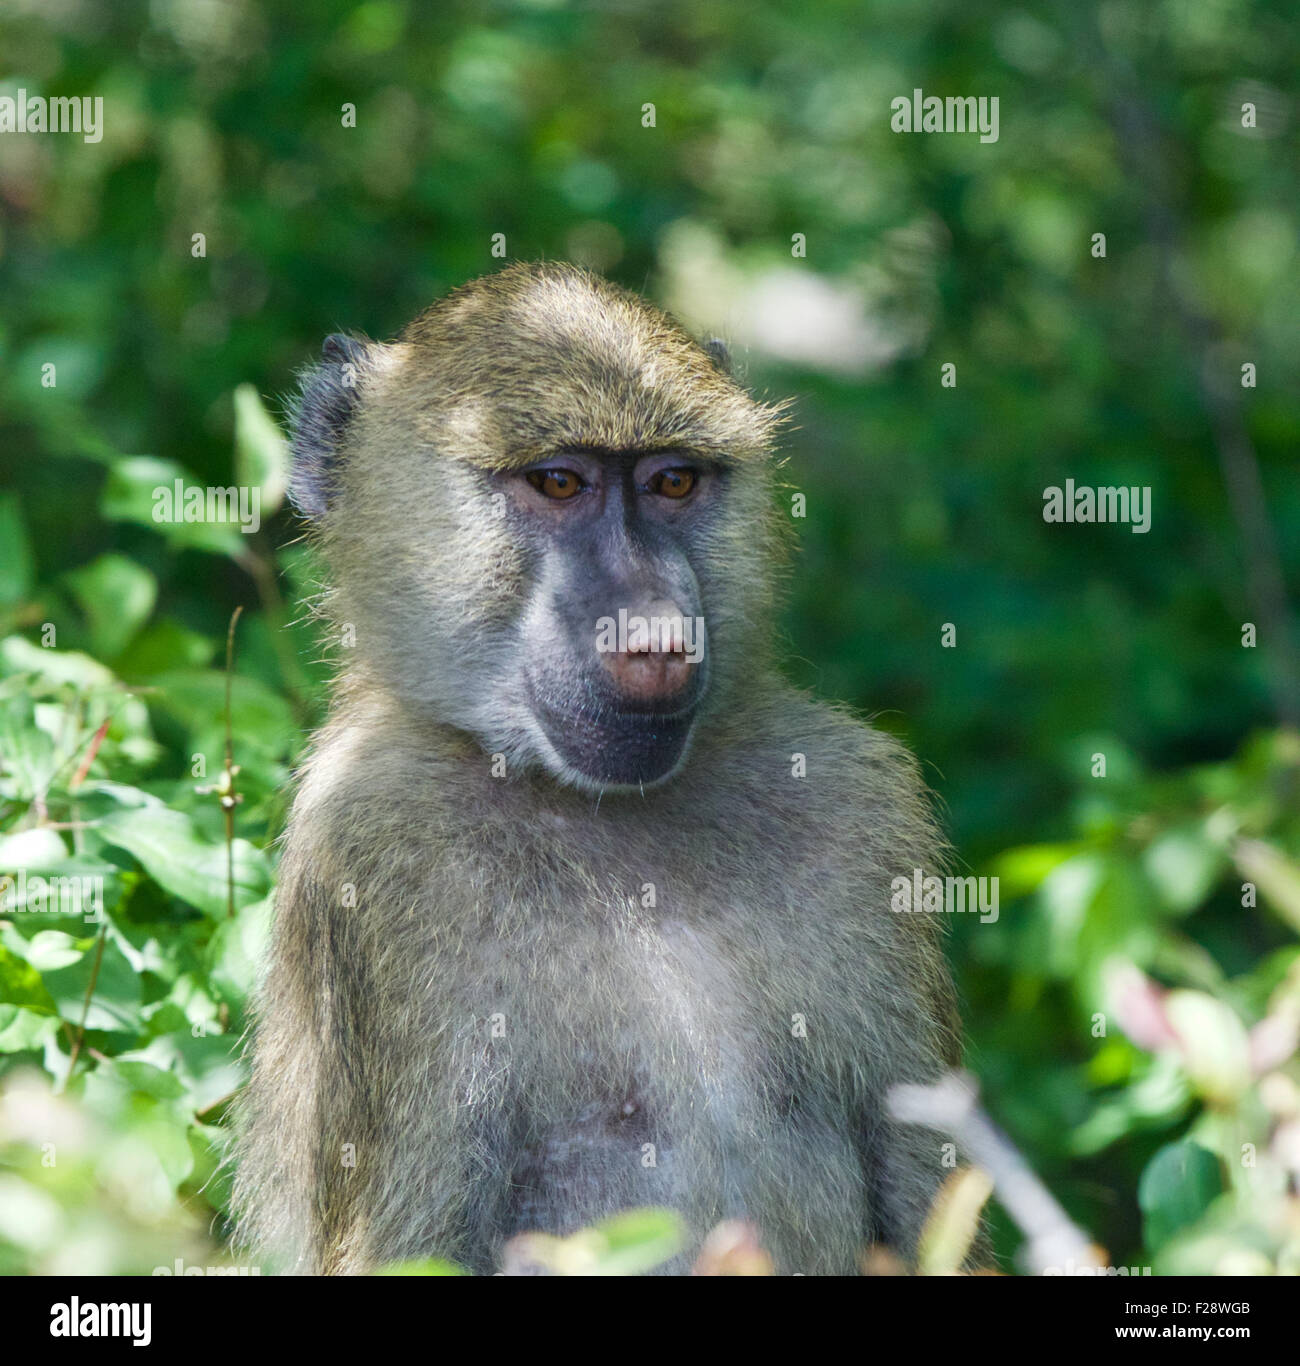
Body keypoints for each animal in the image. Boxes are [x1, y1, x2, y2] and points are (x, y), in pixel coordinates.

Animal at [232, 261, 972, 1276]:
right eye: (557, 482)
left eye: (672, 481)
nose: (654, 638)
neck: (598, 804)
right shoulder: (369, 851)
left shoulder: (861, 804)